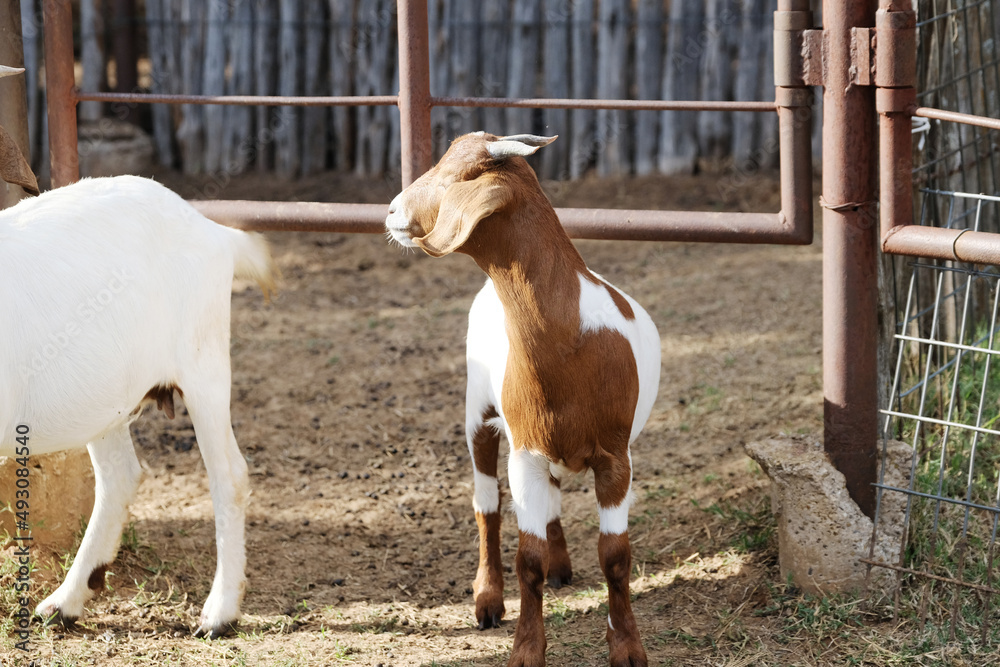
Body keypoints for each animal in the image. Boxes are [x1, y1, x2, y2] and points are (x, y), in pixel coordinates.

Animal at [0, 173, 275, 638]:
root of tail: (214, 232)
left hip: (203, 366)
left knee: (230, 475)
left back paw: (219, 613)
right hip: (104, 400)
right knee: (120, 478)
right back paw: (65, 603)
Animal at [386, 132, 661, 667]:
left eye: (453, 176)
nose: (390, 212)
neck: (571, 339)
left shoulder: (615, 457)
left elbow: (616, 558)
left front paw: (628, 648)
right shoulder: (525, 452)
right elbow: (526, 560)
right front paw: (526, 650)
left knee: (549, 500)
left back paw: (562, 564)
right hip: (478, 413)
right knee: (487, 506)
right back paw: (488, 599)